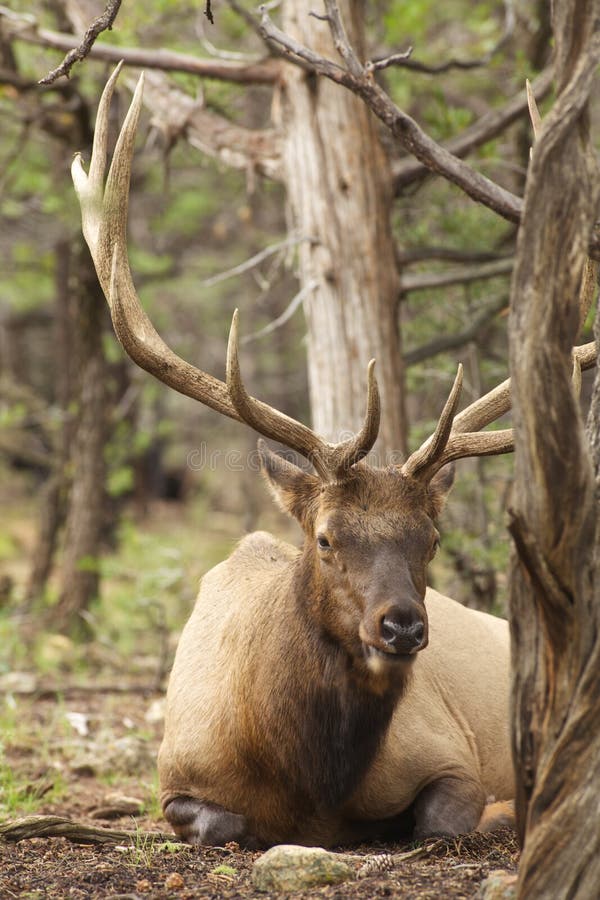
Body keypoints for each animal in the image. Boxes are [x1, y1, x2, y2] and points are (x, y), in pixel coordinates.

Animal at [72, 66, 525, 849]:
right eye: (324, 538)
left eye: (431, 539)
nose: (402, 625)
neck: (309, 781)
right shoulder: (175, 781)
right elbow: (221, 822)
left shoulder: (452, 755)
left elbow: (440, 822)